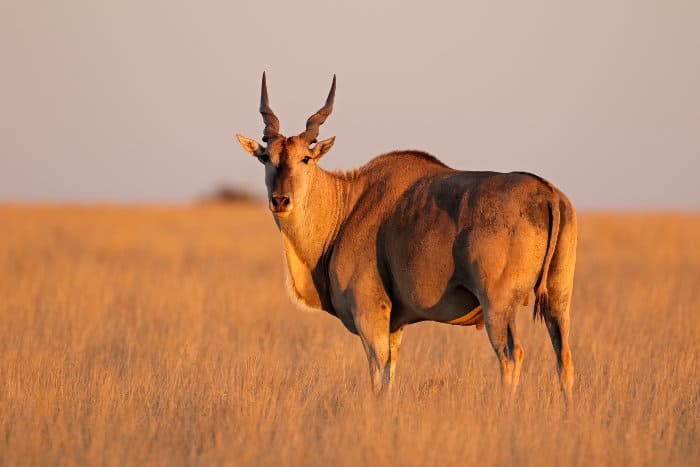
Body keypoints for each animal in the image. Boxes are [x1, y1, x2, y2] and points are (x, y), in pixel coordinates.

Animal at [236, 74, 577, 401]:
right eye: (266, 158)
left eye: (305, 159)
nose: (281, 201)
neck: (348, 204)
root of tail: (547, 194)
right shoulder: (395, 326)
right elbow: (389, 375)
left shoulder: (370, 314)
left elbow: (378, 376)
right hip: (558, 302)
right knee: (565, 359)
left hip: (498, 306)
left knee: (511, 356)